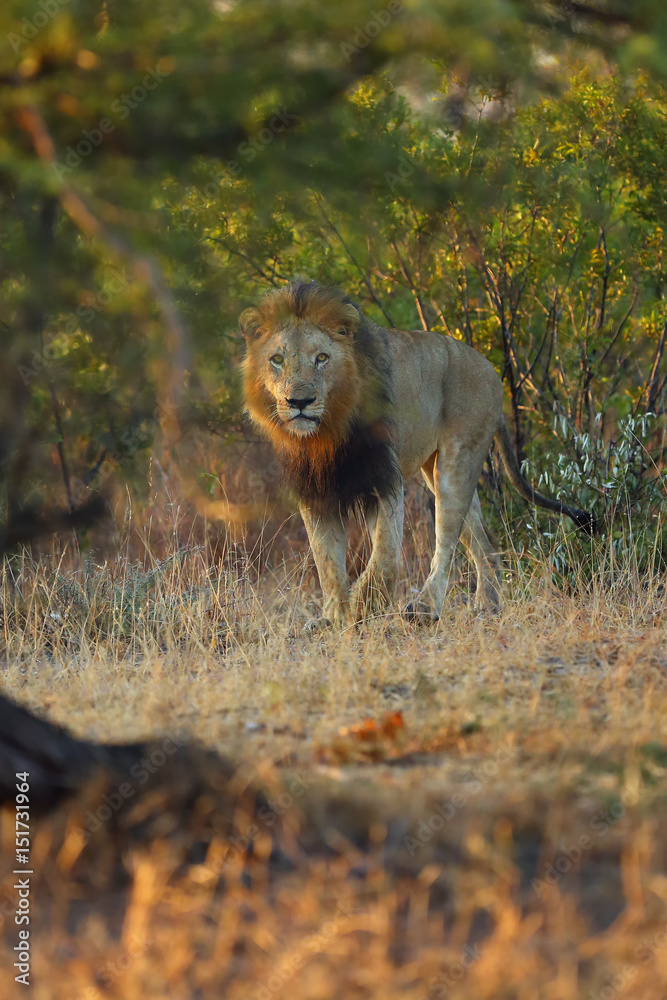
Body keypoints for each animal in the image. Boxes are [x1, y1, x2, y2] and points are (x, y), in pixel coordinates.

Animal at [239, 279, 594, 630]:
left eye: (322, 358)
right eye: (277, 359)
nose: (299, 402)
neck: (327, 433)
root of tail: (493, 373)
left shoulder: (384, 478)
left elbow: (385, 553)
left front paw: (365, 604)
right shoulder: (315, 490)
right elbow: (325, 560)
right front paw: (333, 618)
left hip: (455, 463)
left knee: (447, 540)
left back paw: (425, 608)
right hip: (439, 471)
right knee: (485, 543)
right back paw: (487, 606)